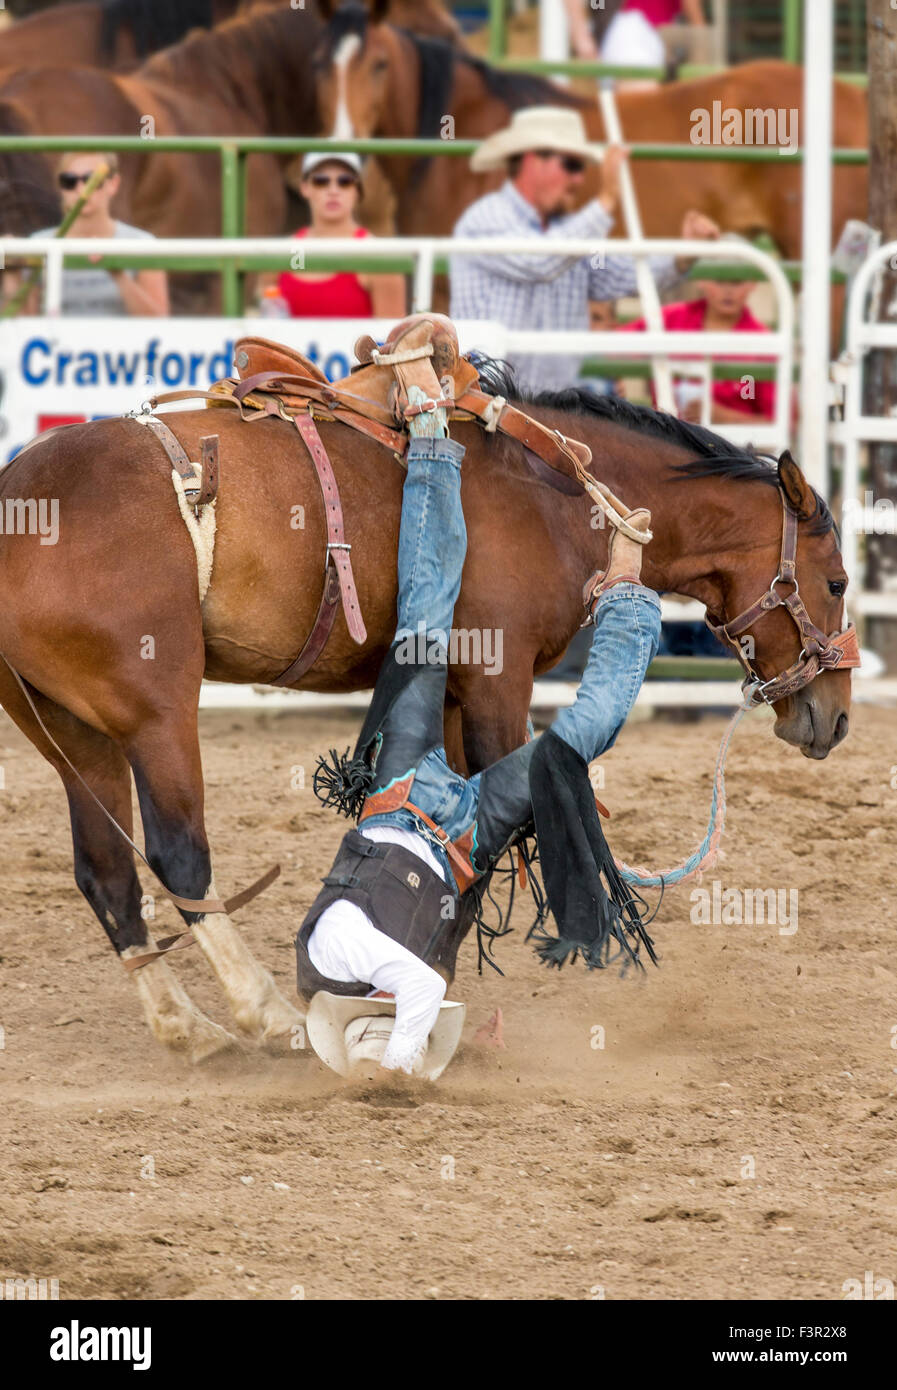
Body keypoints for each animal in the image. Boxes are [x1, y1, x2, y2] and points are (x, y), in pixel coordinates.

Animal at [0, 356, 853, 1064]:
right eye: (837, 581)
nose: (835, 717)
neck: (550, 491)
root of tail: (18, 506)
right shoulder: (499, 679)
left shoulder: (448, 694)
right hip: (155, 711)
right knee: (178, 856)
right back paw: (265, 1015)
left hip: (72, 731)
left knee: (105, 872)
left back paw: (186, 1028)